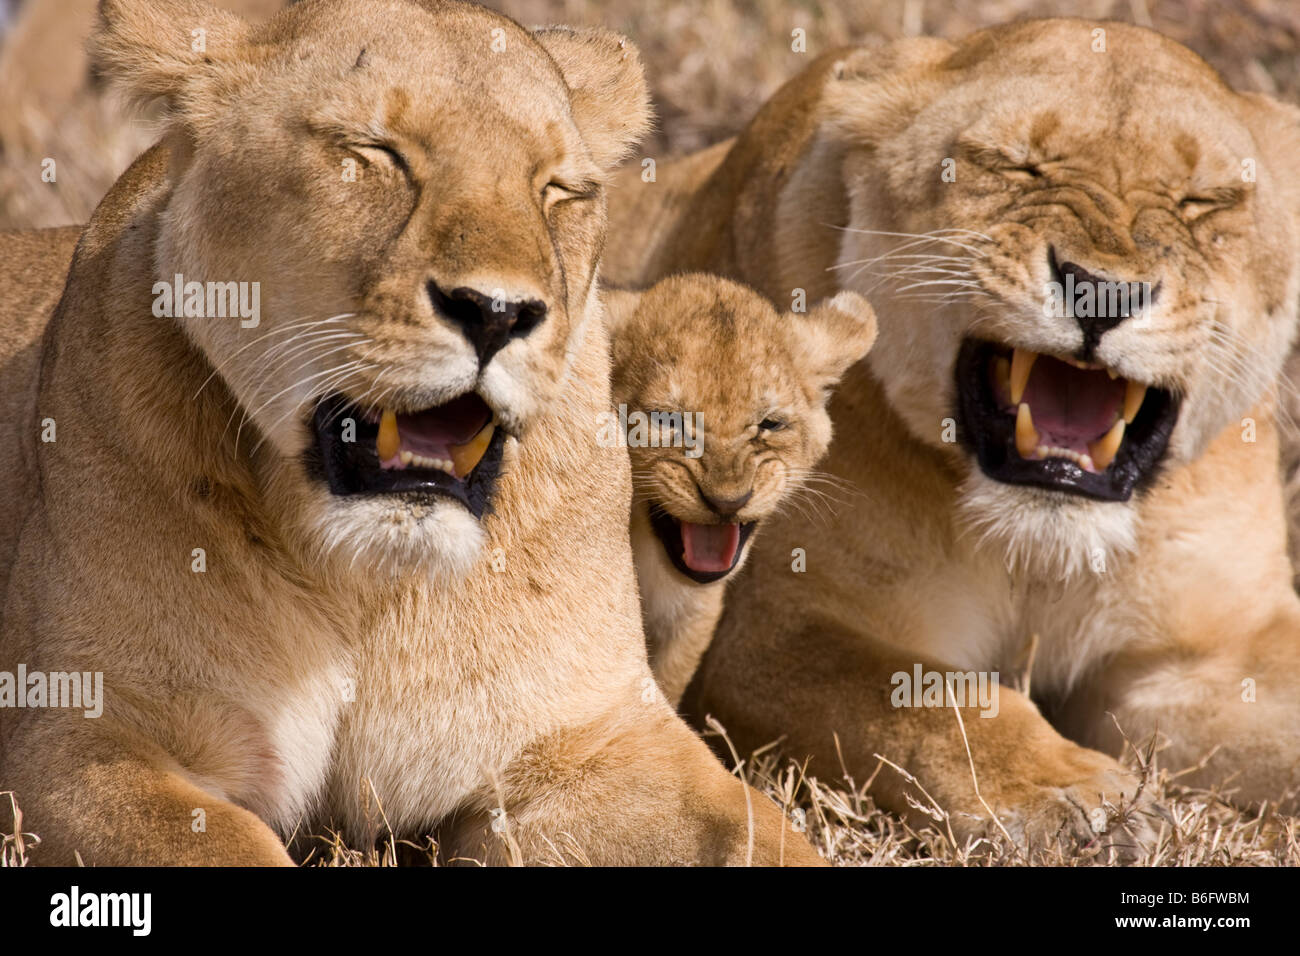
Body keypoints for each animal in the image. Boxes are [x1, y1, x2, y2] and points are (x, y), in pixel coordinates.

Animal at [0, 0, 822, 866]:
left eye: (559, 190)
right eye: (375, 153)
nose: (497, 312)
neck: (362, 580)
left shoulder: (591, 738)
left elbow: (759, 828)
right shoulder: (77, 739)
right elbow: (226, 842)